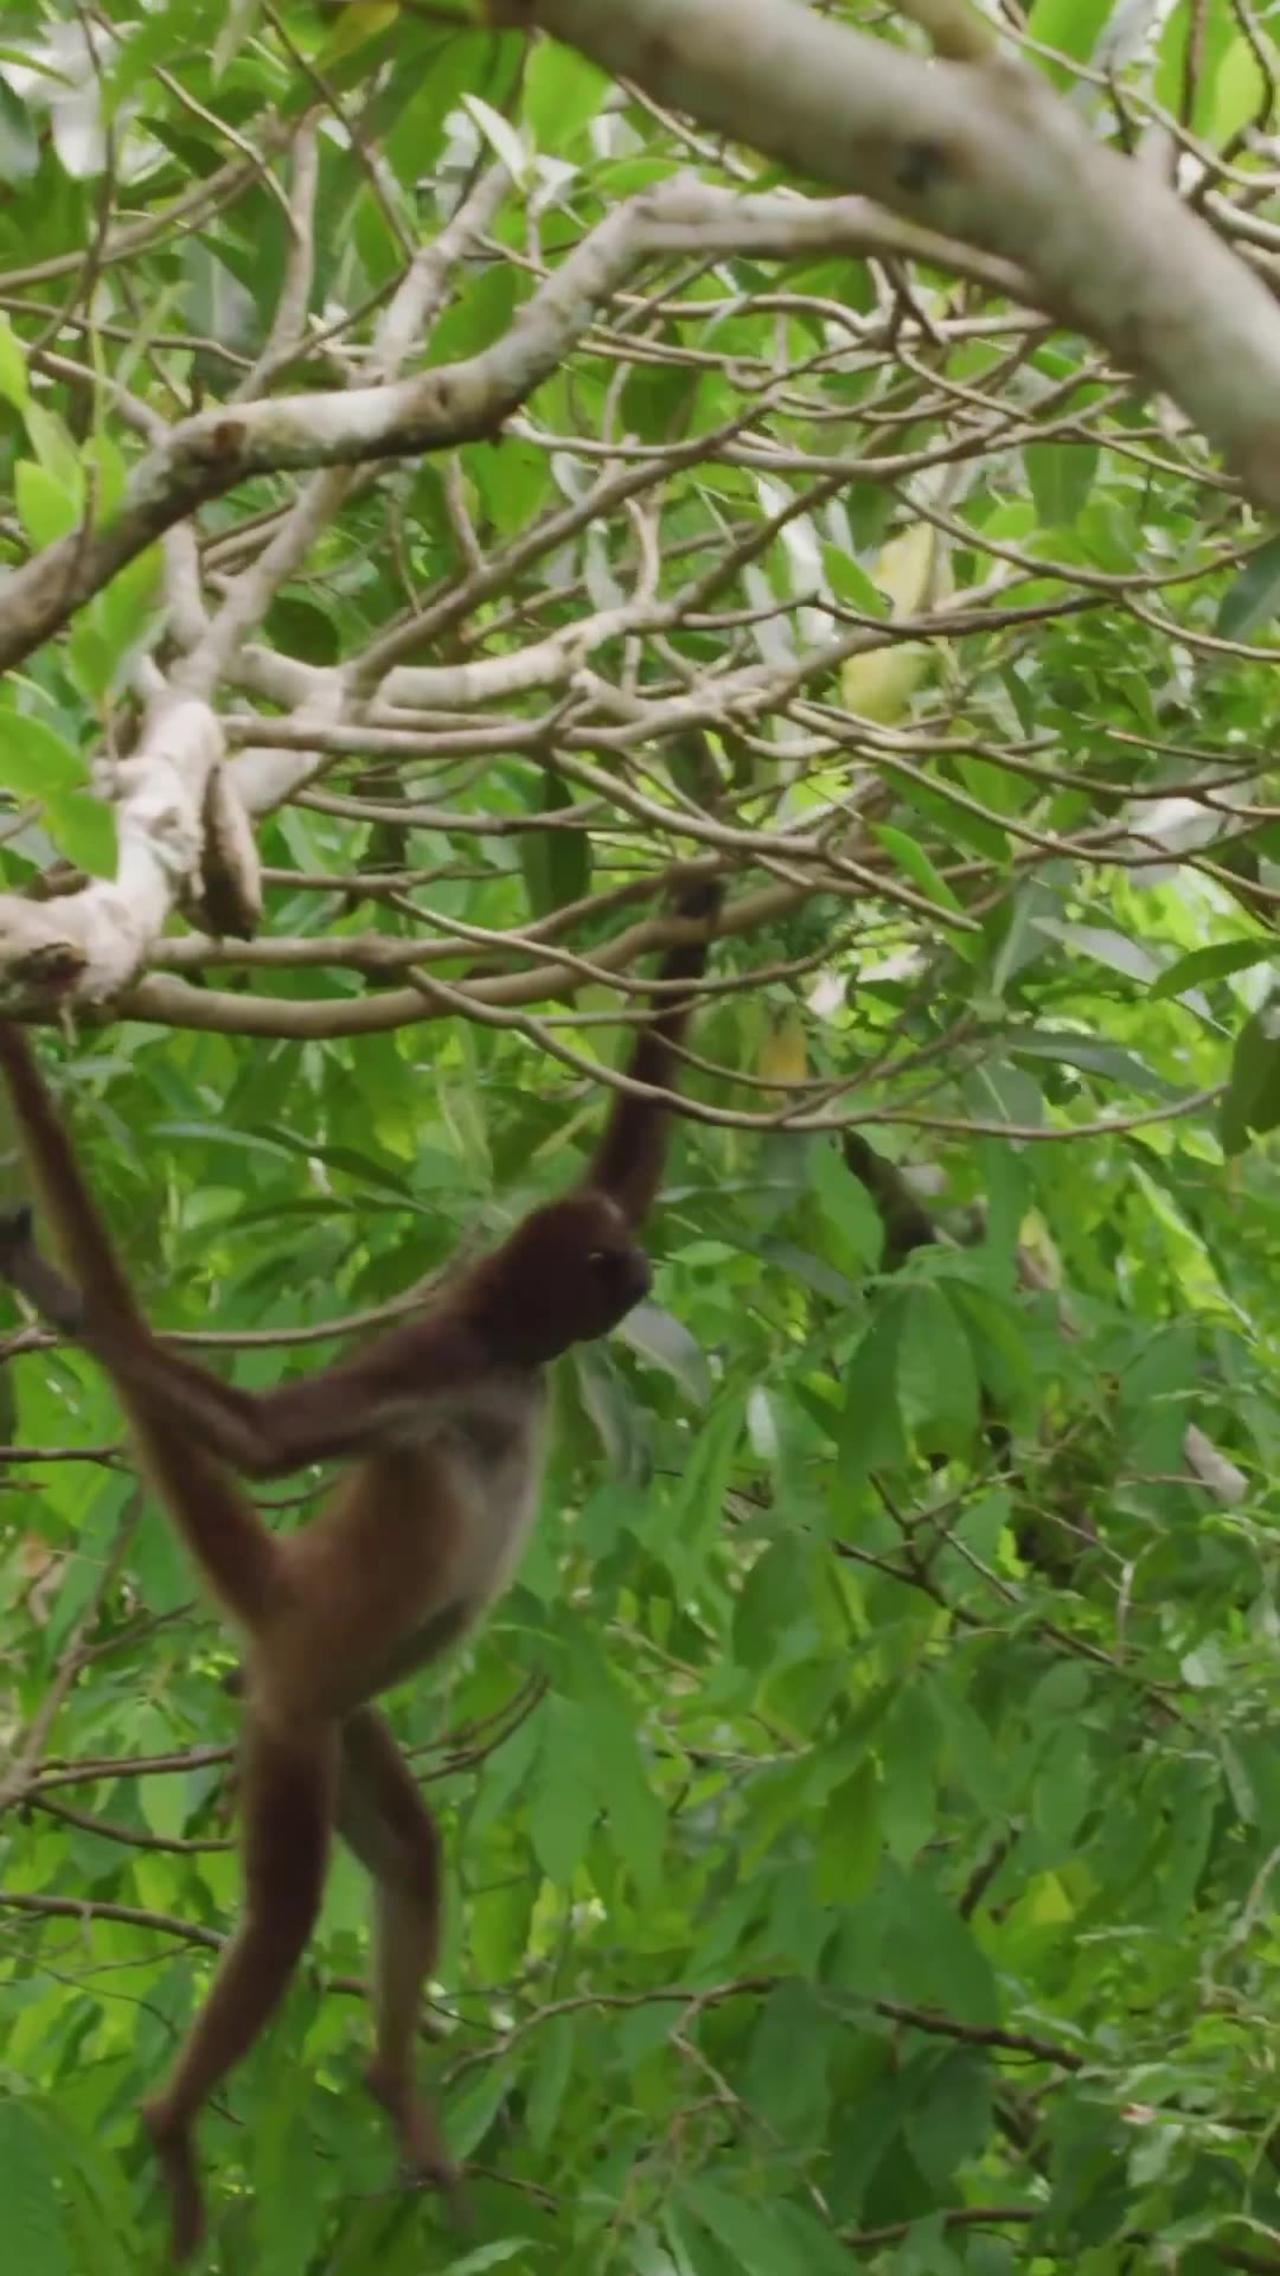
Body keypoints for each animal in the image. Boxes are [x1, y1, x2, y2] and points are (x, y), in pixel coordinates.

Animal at [0, 881, 721, 2262]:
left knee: (413, 1852)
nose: (648, 1269)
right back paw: (174, 2122)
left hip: (341, 1721)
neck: (507, 1356)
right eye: (611, 1264)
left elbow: (632, 1143)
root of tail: (288, 1600)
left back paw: (396, 2089)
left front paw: (696, 898)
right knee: (282, 1915)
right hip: (288, 1724)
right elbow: (267, 1439)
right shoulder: (432, 1356)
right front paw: (68, 1298)